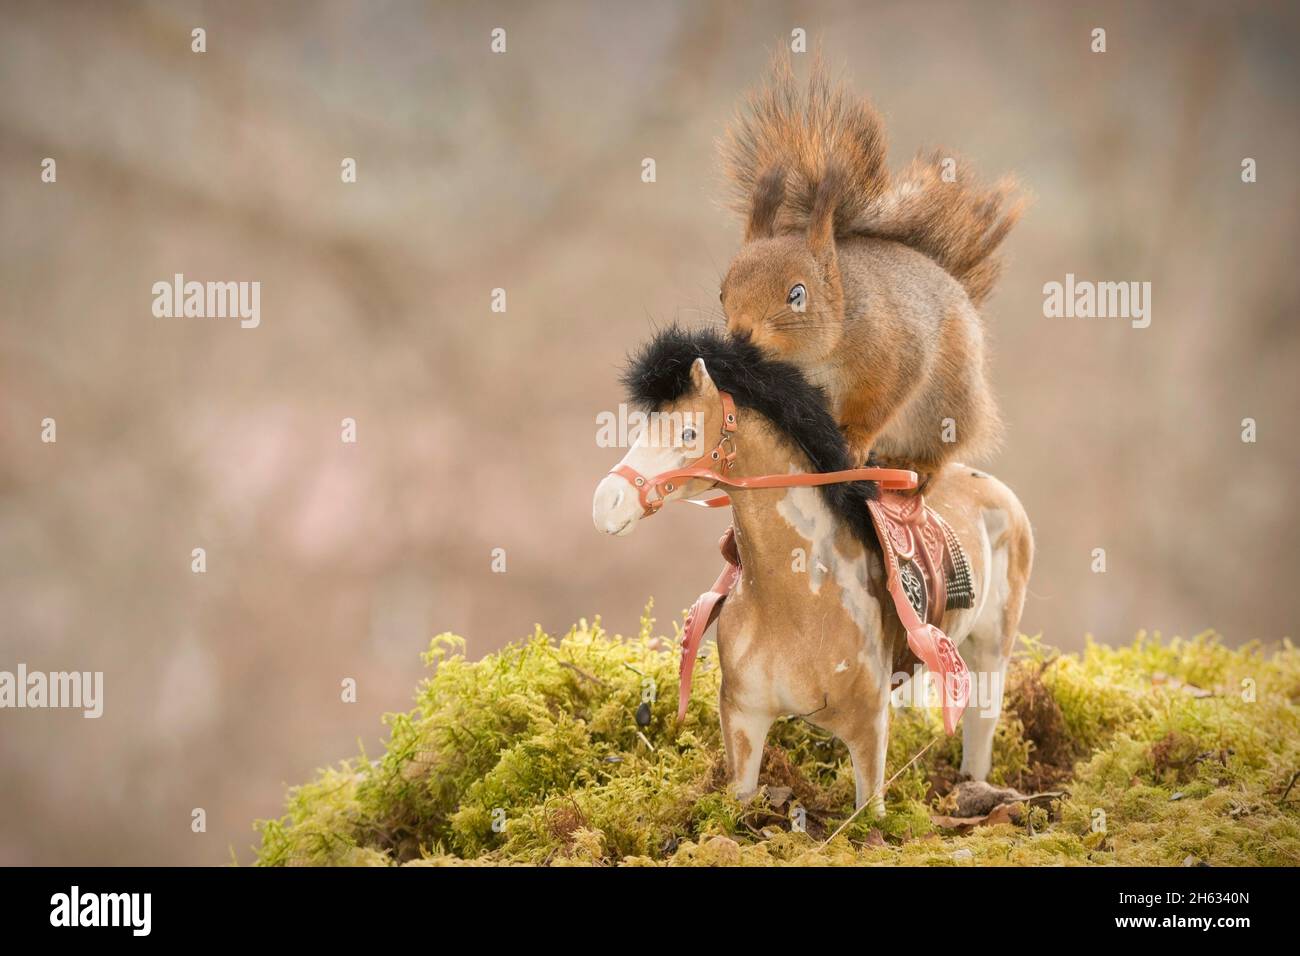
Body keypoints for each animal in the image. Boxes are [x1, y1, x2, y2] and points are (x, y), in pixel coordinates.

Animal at [592, 327, 1033, 815]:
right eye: (643, 429)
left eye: (688, 431)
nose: (605, 504)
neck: (797, 600)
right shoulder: (743, 720)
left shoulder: (867, 731)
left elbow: (870, 813)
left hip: (991, 649)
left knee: (981, 723)